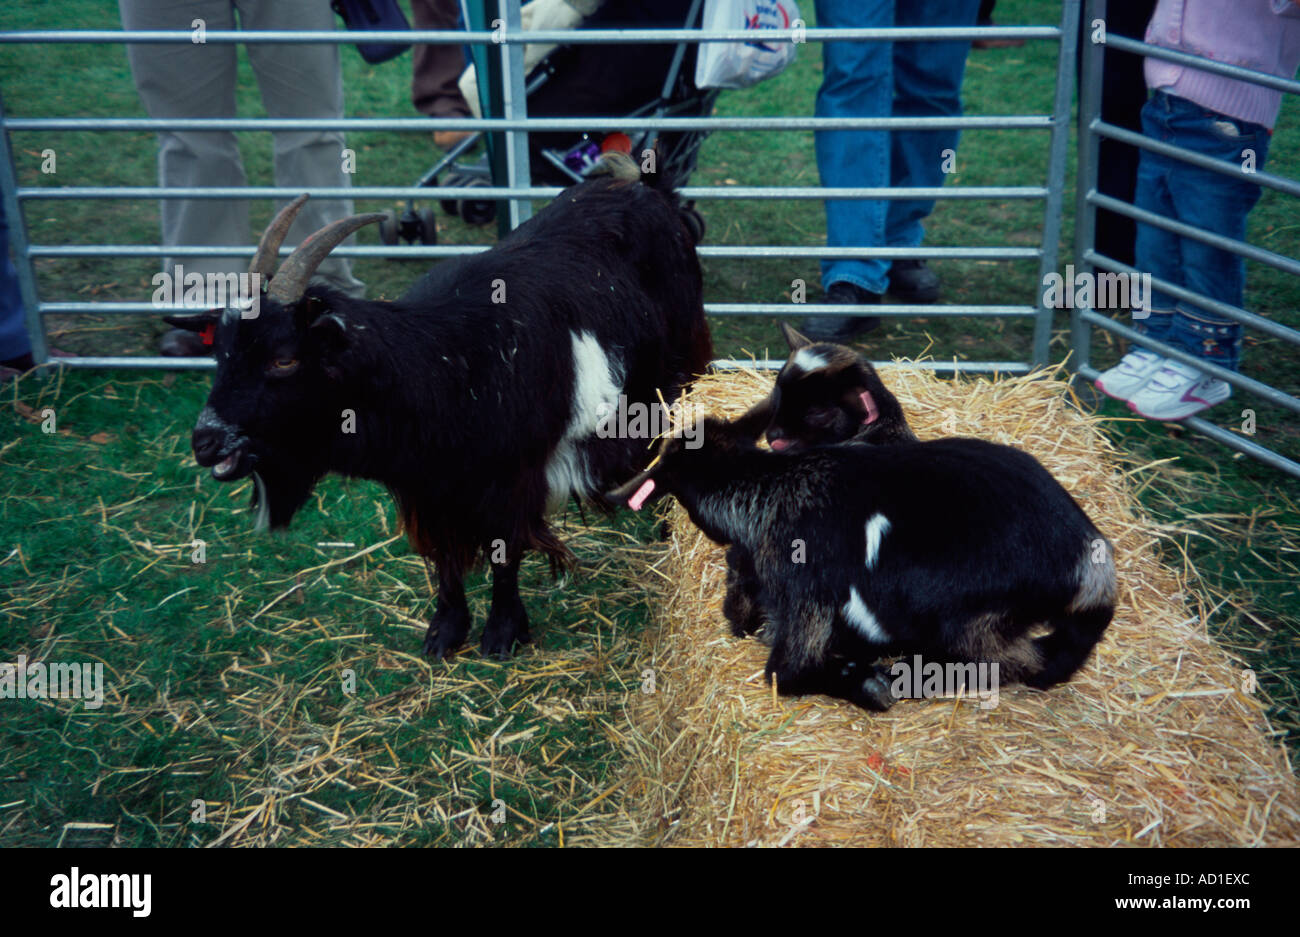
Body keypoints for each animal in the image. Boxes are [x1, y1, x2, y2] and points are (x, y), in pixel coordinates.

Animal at [166, 154, 712, 658]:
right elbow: (442, 558)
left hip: (679, 369)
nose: (205, 441)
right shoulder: (426, 488)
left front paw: (502, 635)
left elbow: (504, 554)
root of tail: (641, 185)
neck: (442, 366)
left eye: (283, 359)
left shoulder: (511, 479)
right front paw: (445, 633)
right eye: (221, 352)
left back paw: (667, 528)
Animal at [608, 415, 1116, 710]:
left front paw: (867, 685)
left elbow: (786, 673)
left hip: (966, 615)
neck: (771, 488)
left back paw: (907, 676)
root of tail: (1092, 565)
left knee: (1024, 662)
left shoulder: (806, 590)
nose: (734, 620)